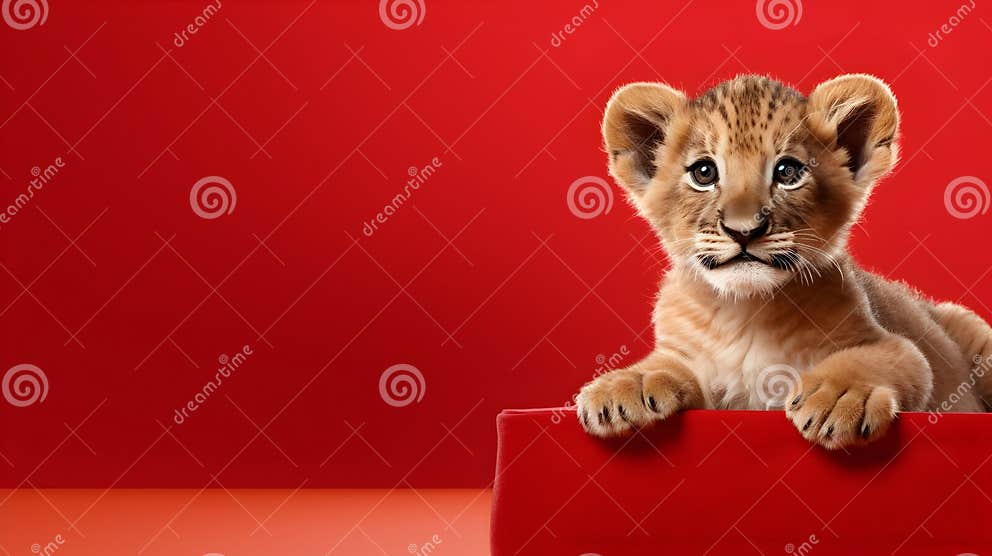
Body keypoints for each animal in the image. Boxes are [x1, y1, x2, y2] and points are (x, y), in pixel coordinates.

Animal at [575, 74, 992, 449]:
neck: (746, 311)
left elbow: (873, 360)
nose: (744, 230)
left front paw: (838, 397)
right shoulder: (695, 366)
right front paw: (623, 386)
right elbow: (666, 367)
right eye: (704, 173)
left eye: (787, 172)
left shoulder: (895, 347)